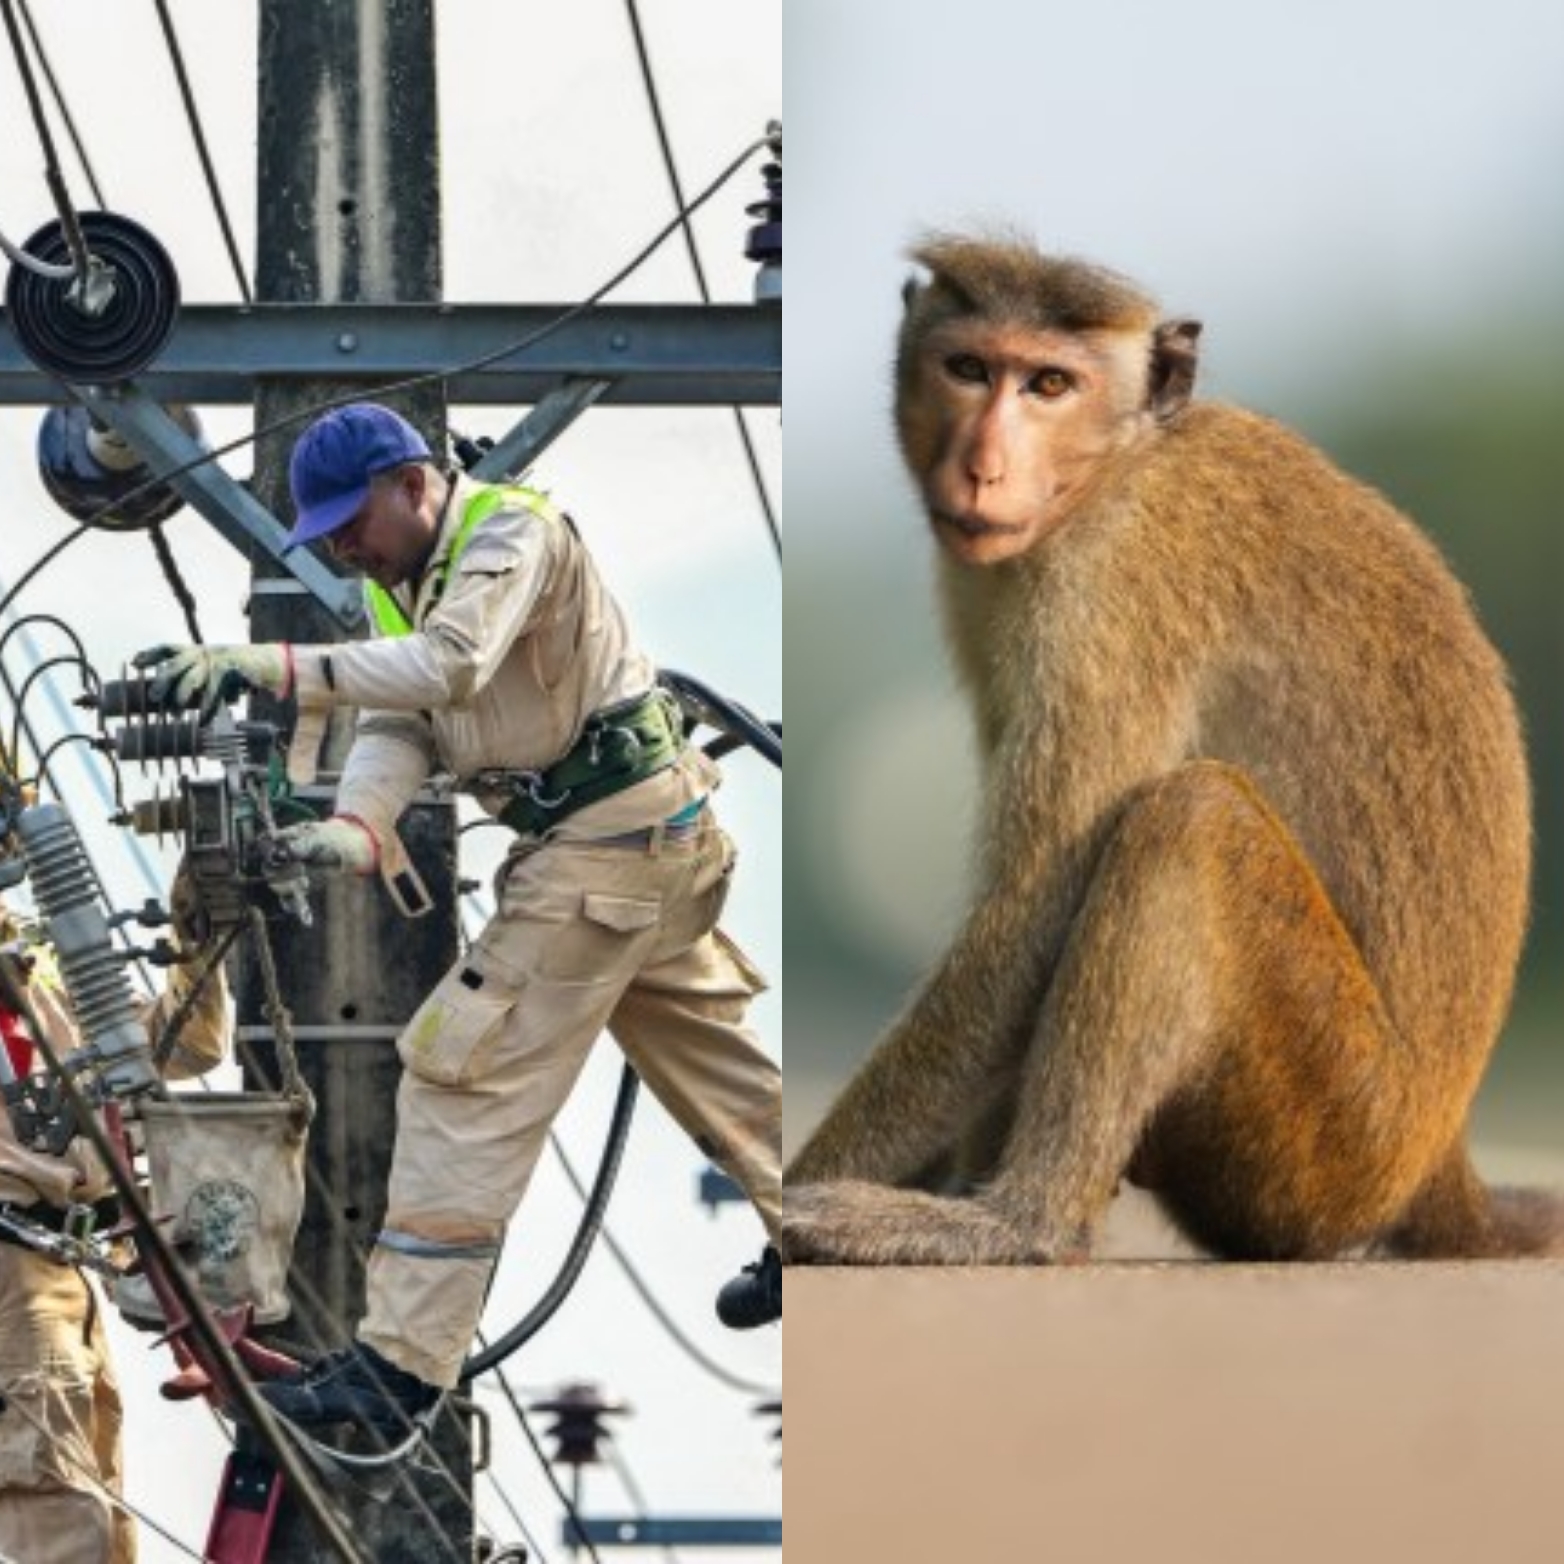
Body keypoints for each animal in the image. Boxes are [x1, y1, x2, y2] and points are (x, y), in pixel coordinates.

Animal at [783, 232, 1561, 1267]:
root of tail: (1437, 1166)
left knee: (1190, 822)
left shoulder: (1108, 589)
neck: (1112, 470)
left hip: (1336, 1136)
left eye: (1050, 384)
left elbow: (1028, 921)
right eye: (968, 368)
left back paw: (1022, 1225)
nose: (983, 467)